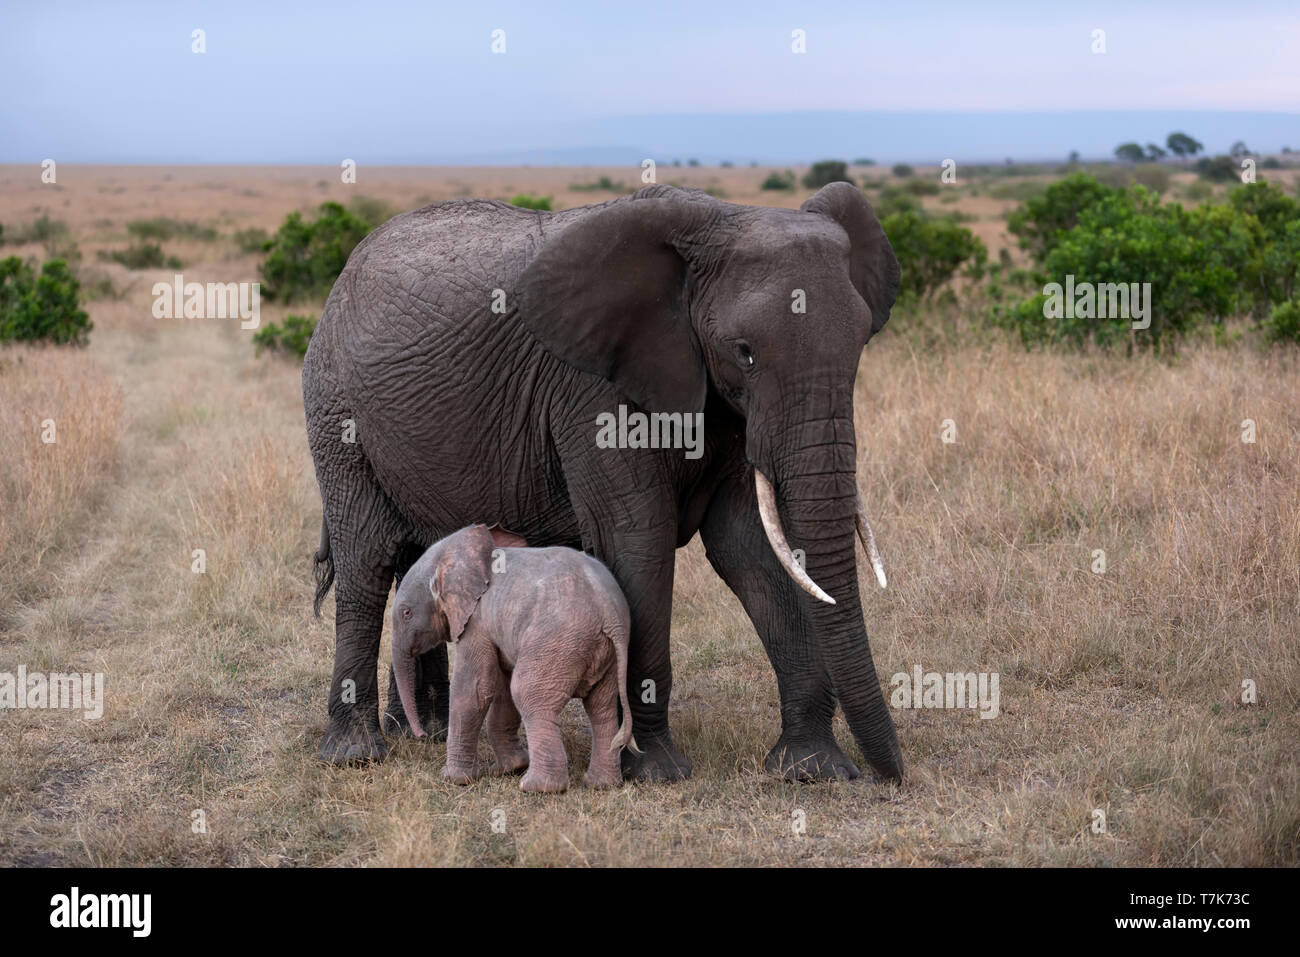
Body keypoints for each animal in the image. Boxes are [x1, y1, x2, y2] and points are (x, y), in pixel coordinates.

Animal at [390, 524, 637, 792]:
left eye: (406, 613)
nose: (422, 736)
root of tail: (610, 612)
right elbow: (500, 688)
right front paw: (509, 768)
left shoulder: (476, 622)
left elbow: (473, 689)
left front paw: (454, 778)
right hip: (604, 653)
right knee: (602, 707)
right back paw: (601, 784)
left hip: (557, 641)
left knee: (528, 693)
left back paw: (536, 787)